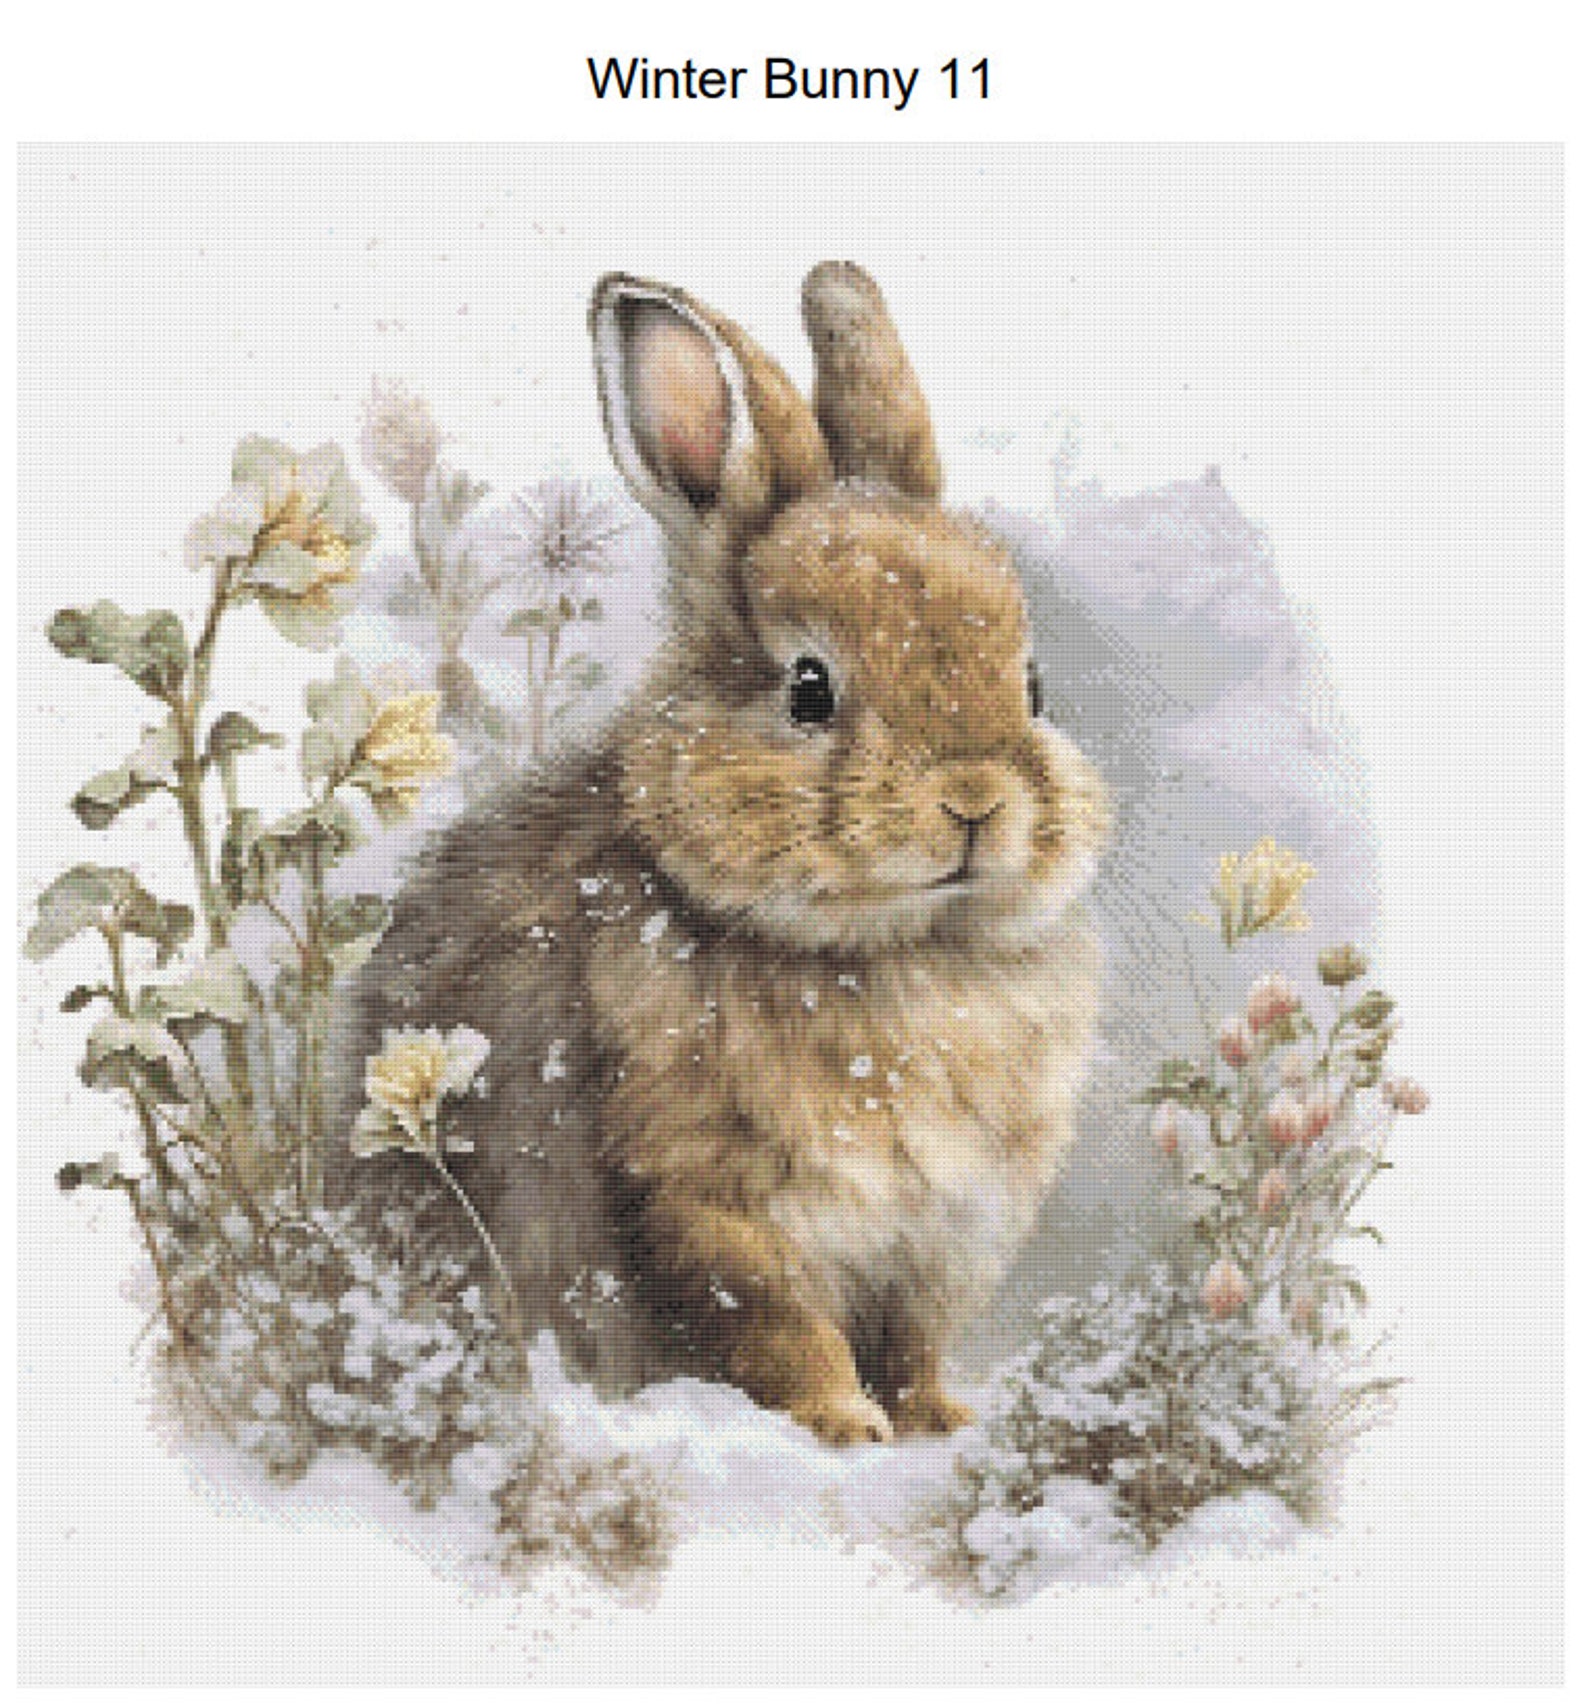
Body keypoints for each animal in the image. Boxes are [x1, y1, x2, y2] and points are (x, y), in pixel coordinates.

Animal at [327, 264, 1112, 1445]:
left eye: (1032, 685)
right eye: (809, 688)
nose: (975, 799)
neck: (892, 952)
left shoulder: (942, 1239)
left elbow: (915, 1345)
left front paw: (939, 1418)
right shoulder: (711, 1203)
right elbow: (784, 1332)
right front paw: (844, 1425)